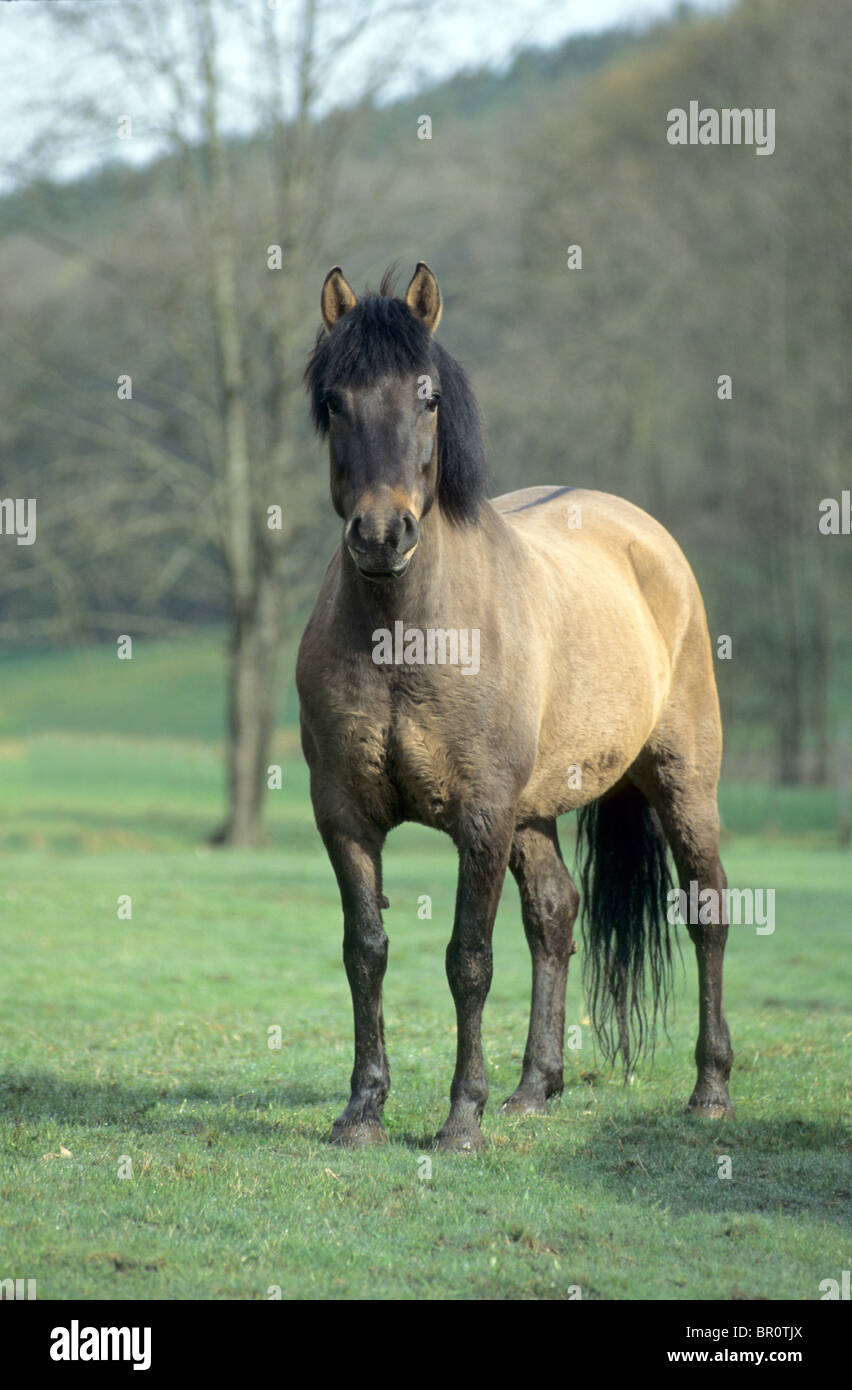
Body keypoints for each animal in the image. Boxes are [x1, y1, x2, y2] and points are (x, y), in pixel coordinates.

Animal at [296, 262, 733, 1151]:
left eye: (427, 397)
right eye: (334, 400)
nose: (382, 535)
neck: (408, 635)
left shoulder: (482, 817)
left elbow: (468, 958)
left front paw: (462, 1116)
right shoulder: (345, 815)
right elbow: (366, 951)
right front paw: (363, 1110)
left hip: (681, 785)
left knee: (706, 912)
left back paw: (710, 1088)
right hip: (535, 813)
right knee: (555, 916)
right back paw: (536, 1087)